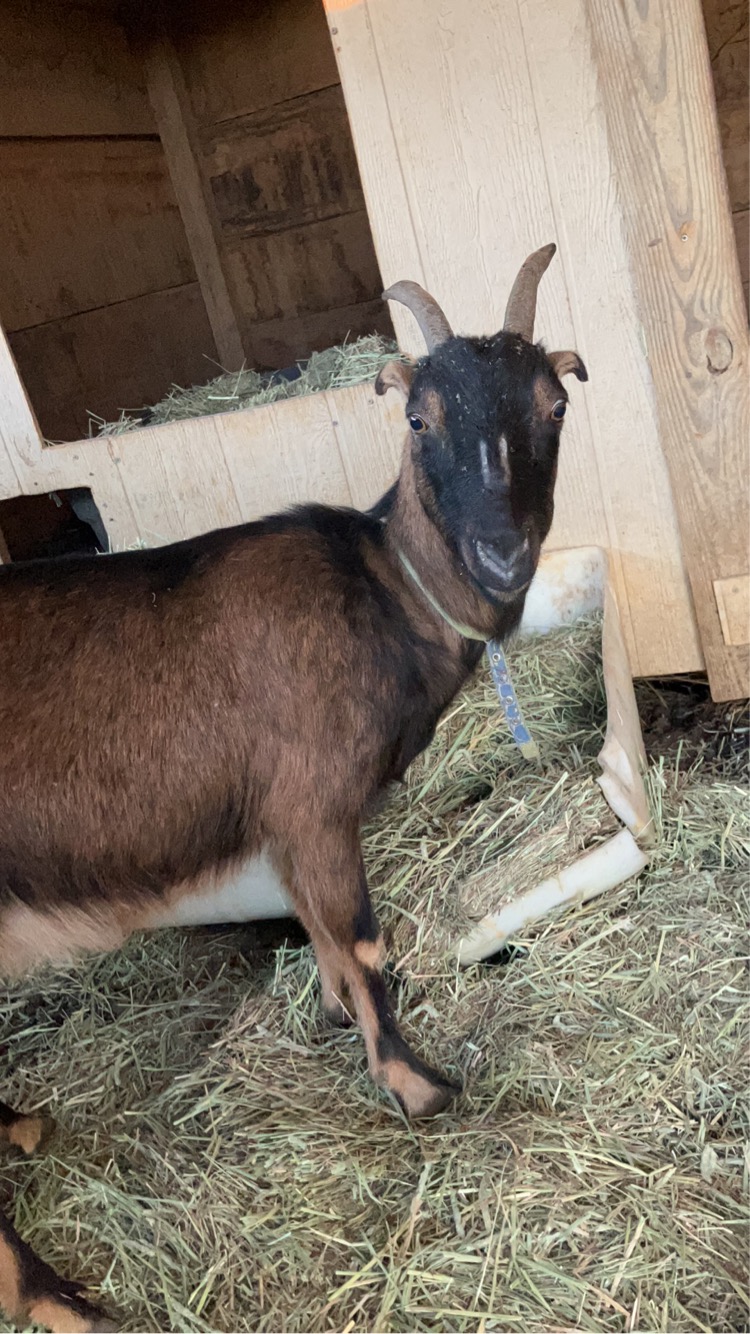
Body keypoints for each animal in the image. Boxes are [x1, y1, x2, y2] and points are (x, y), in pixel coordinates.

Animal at [0, 243, 587, 1332]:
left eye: (554, 405)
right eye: (417, 418)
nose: (502, 554)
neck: (385, 588)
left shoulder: (284, 821)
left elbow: (322, 935)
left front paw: (333, 1015)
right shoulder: (311, 798)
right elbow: (361, 939)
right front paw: (417, 1086)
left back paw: (22, 1129)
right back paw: (61, 1298)